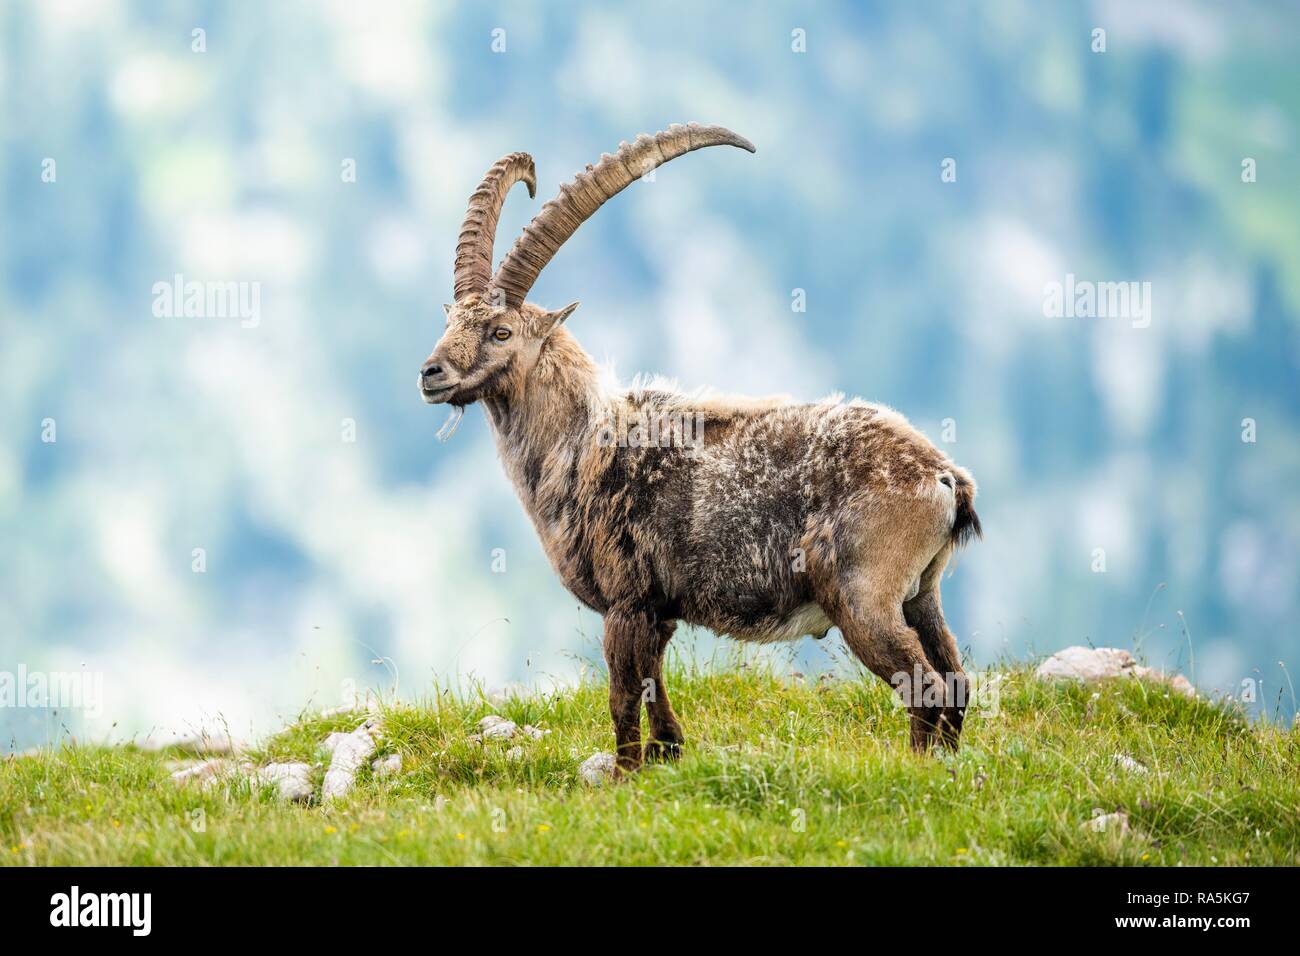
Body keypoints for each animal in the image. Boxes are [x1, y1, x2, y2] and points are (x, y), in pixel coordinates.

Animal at [420, 124, 981, 774]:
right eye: (450, 322)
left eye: (501, 331)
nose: (430, 374)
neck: (582, 447)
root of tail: (944, 477)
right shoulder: (660, 612)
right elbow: (655, 690)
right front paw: (667, 752)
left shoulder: (627, 601)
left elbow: (622, 696)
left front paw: (625, 774)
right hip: (923, 592)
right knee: (956, 679)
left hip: (864, 595)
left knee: (926, 685)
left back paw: (916, 768)